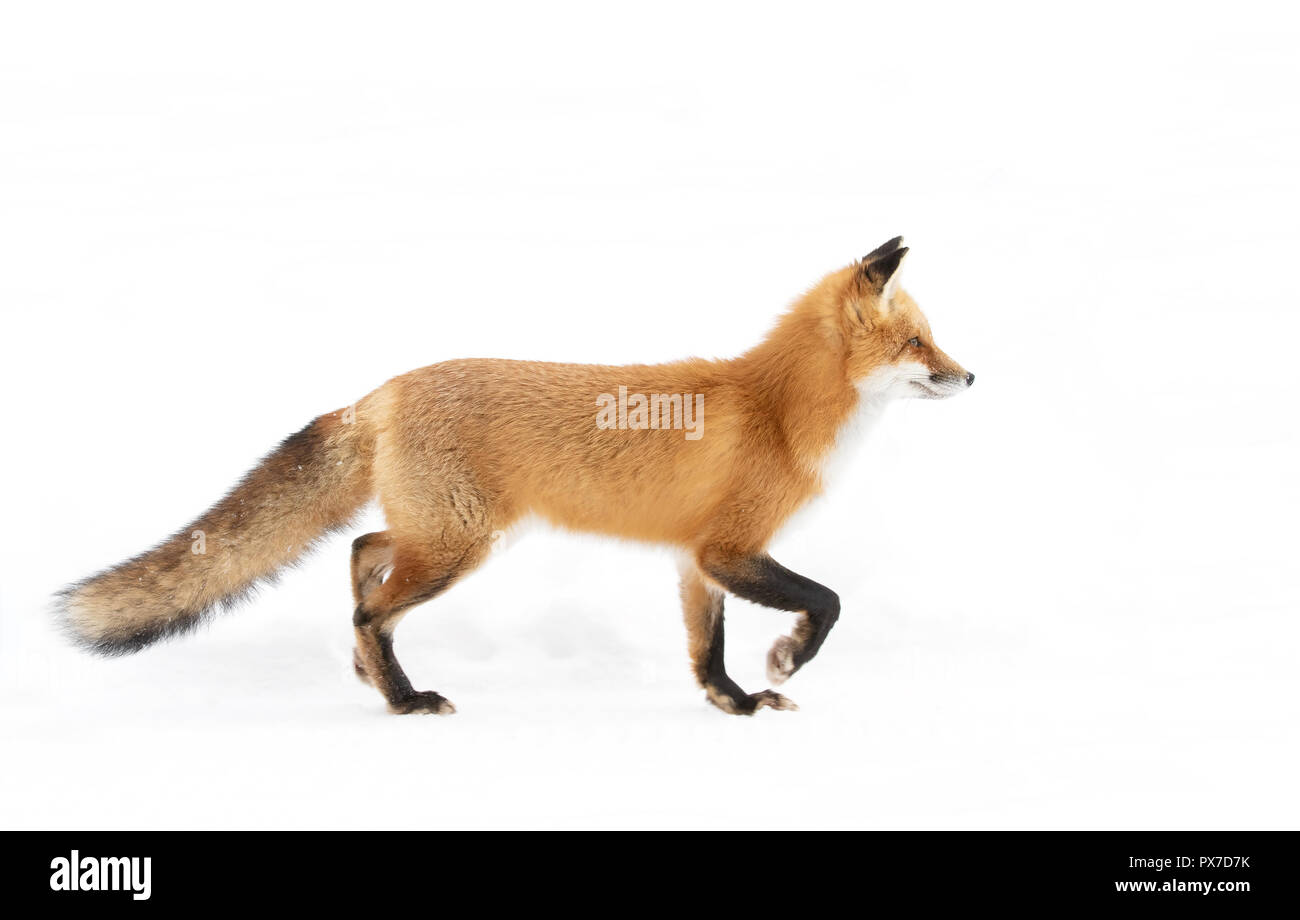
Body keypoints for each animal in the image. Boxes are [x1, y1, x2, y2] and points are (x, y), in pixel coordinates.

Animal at [58, 237, 973, 715]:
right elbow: (828, 602)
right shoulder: (731, 549)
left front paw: (736, 703)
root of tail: (380, 392)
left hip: (443, 533)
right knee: (368, 606)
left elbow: (705, 650)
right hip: (459, 547)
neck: (779, 412)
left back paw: (370, 674)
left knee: (361, 552)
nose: (970, 377)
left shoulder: (696, 558)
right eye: (919, 344)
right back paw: (401, 699)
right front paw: (781, 665)